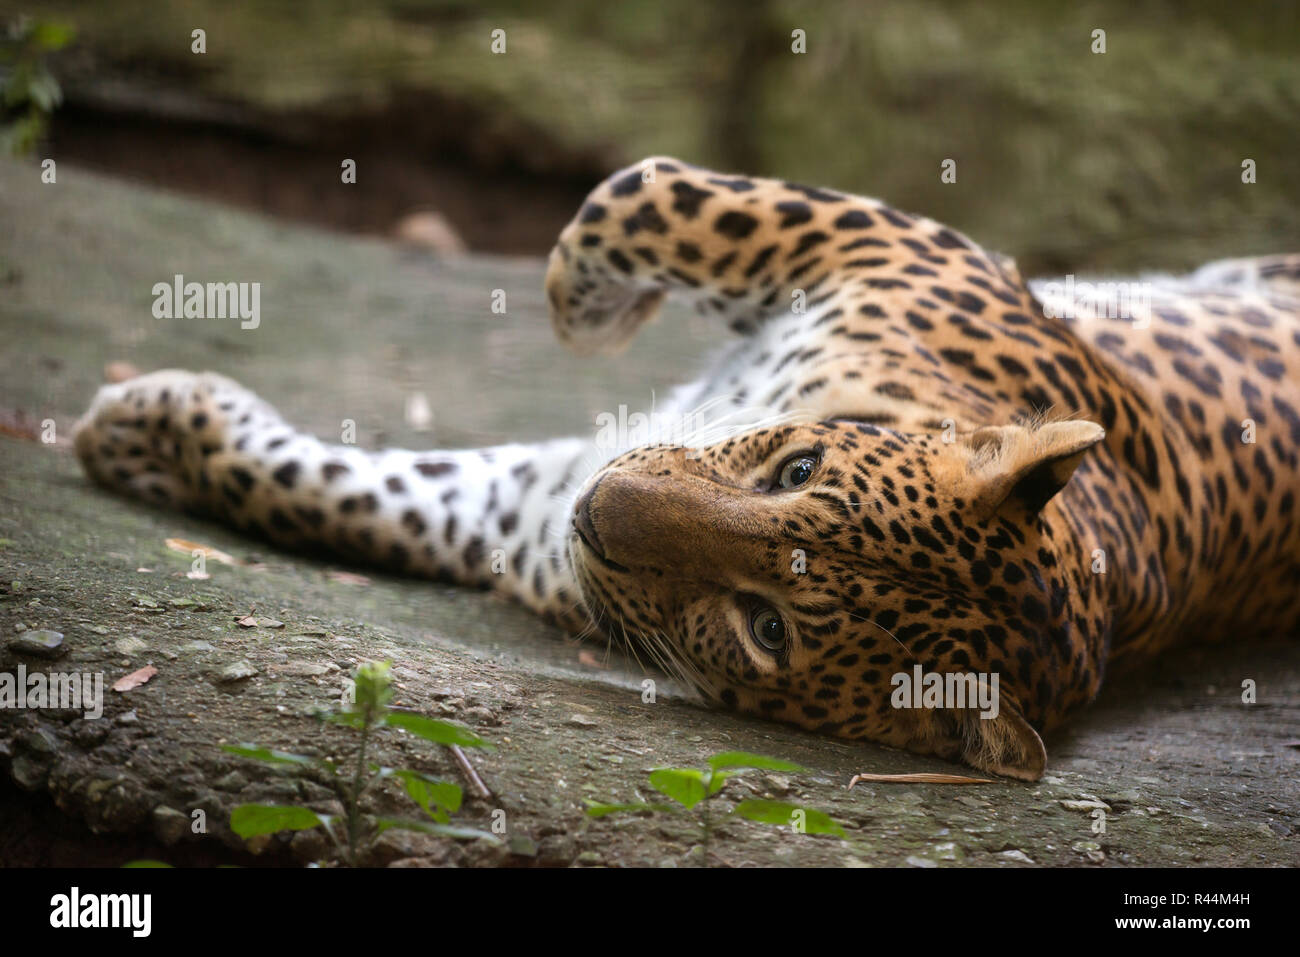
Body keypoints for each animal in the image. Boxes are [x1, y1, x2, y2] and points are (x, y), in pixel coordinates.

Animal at [73, 157, 1300, 780]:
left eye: (767, 629)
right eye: (796, 466)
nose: (605, 506)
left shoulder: (523, 515)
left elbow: (348, 498)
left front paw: (139, 430)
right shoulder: (870, 237)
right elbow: (637, 194)